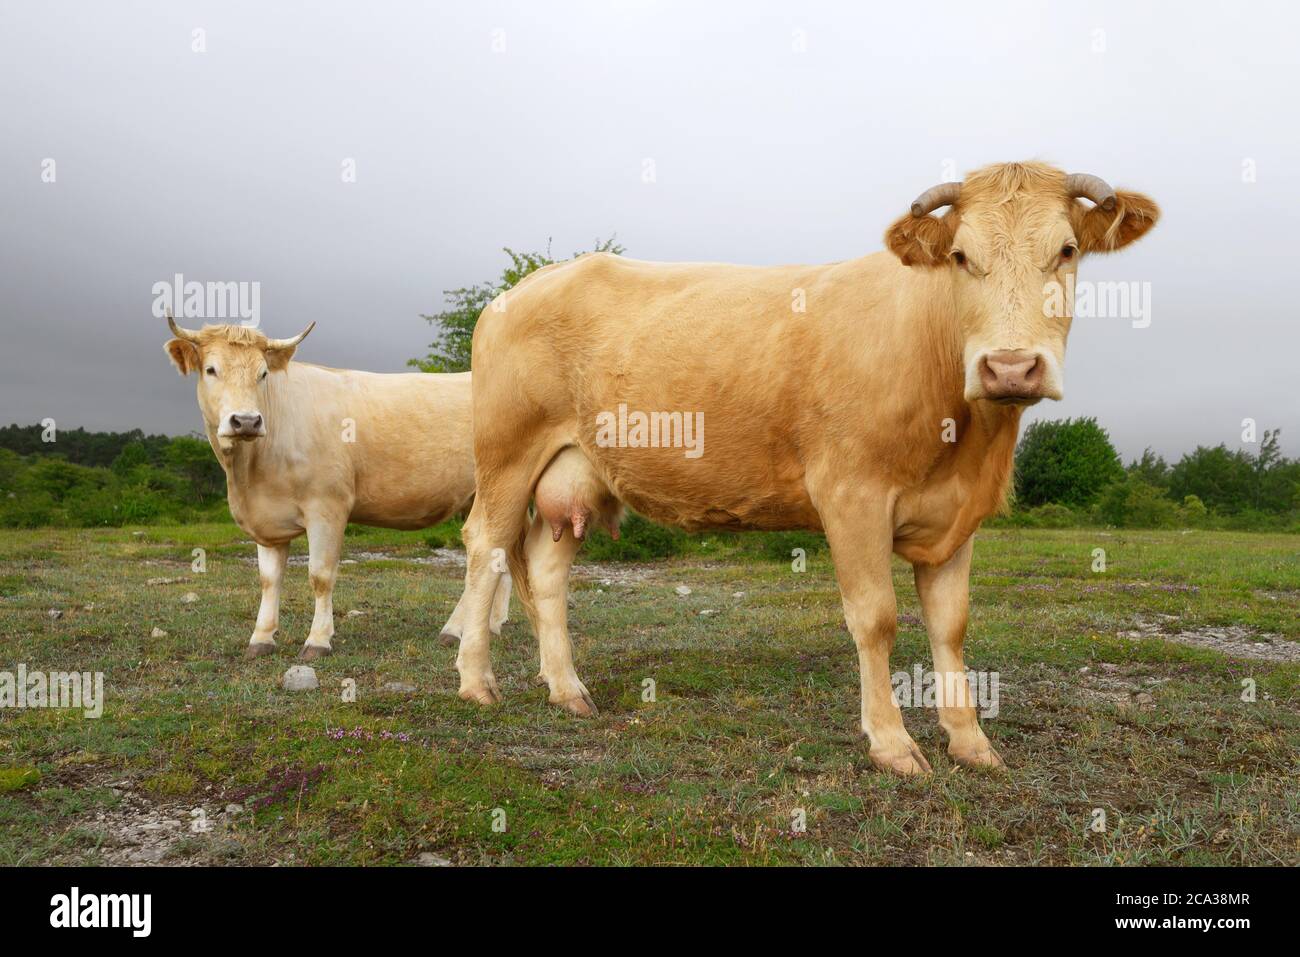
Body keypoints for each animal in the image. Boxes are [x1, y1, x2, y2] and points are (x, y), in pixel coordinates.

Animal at [163, 317, 511, 660]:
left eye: (262, 373)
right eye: (211, 370)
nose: (246, 421)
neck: (249, 473)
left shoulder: (327, 507)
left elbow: (320, 575)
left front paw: (317, 640)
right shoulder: (267, 518)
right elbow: (268, 579)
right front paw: (261, 638)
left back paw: (455, 629)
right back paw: (490, 626)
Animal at [450, 161, 1158, 775]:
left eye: (1067, 250)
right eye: (961, 256)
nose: (1010, 367)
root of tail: (525, 286)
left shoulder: (959, 514)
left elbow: (951, 625)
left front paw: (971, 742)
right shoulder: (852, 493)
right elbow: (876, 618)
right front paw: (892, 744)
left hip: (577, 473)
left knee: (545, 571)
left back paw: (567, 689)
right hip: (507, 452)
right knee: (486, 545)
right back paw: (476, 682)